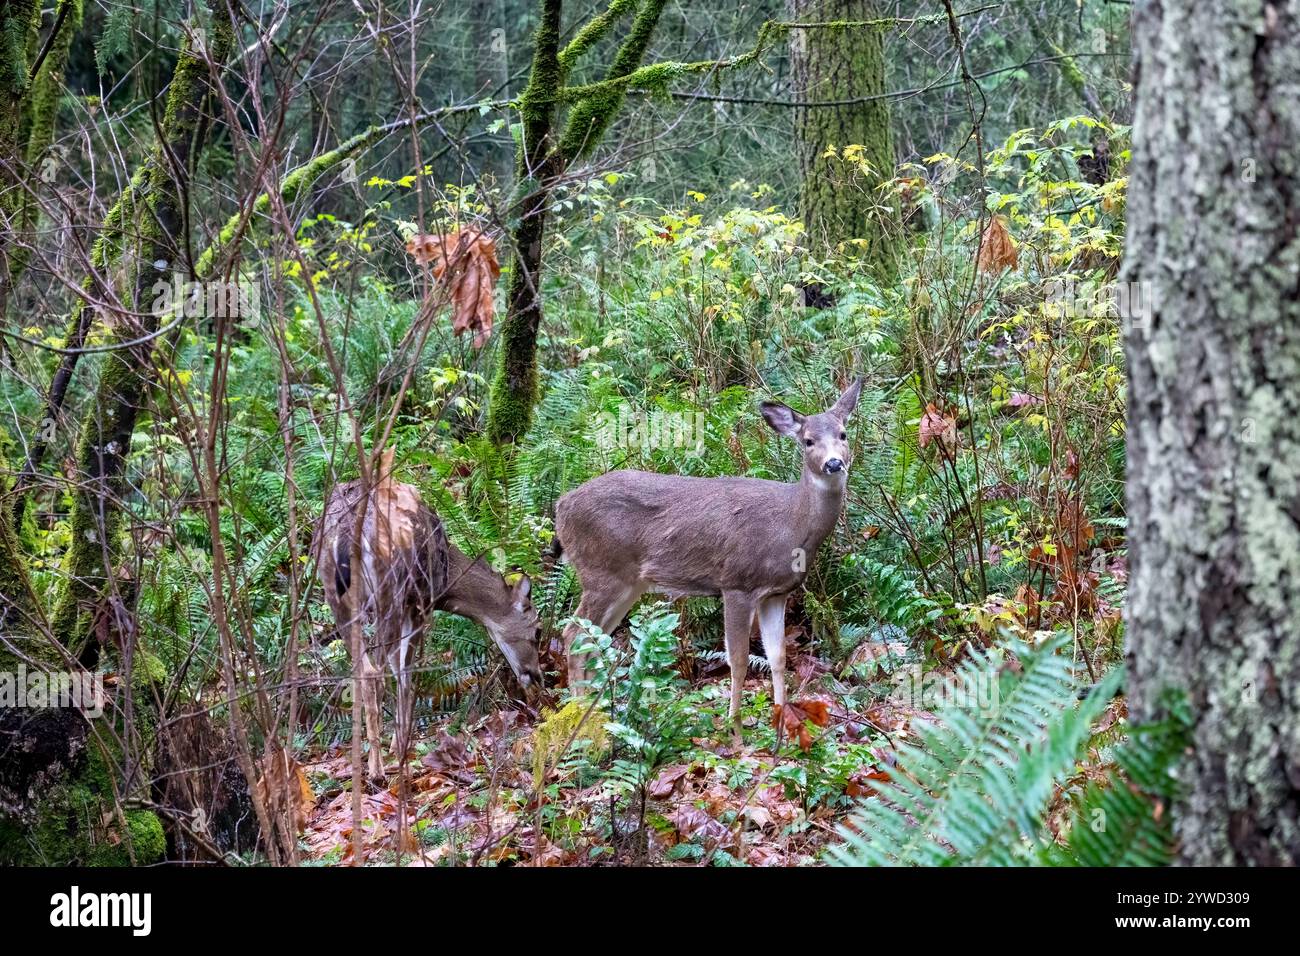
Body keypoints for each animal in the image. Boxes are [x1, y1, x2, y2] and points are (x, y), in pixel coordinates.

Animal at [315, 448, 542, 781]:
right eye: (537, 631)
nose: (536, 675)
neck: (448, 580)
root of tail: (346, 533)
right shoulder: (420, 603)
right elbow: (405, 669)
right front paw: (400, 744)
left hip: (336, 596)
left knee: (358, 670)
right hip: (389, 592)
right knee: (374, 672)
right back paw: (377, 770)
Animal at [554, 378, 861, 743]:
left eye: (843, 433)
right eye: (808, 440)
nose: (833, 464)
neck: (790, 524)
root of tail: (560, 505)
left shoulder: (776, 593)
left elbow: (778, 657)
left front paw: (781, 730)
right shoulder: (737, 583)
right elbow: (739, 660)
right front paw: (736, 734)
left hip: (628, 582)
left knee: (590, 638)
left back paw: (595, 715)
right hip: (600, 571)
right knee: (573, 633)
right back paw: (580, 722)